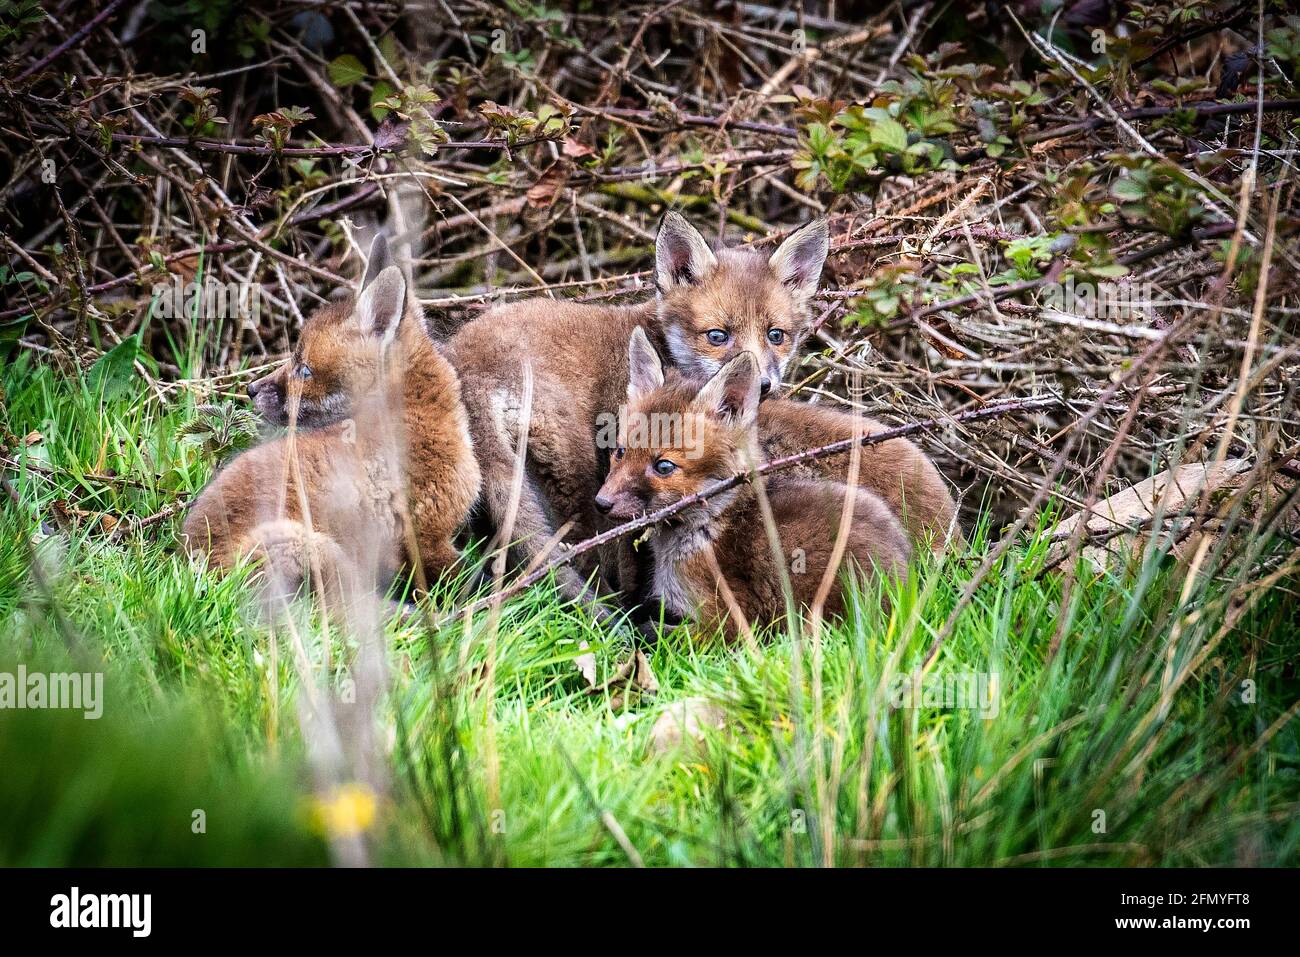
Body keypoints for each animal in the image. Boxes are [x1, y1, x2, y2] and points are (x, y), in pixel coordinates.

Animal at [181, 235, 480, 612]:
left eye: (304, 370)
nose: (250, 389)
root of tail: (190, 563)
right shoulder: (427, 537)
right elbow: (463, 579)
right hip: (315, 549)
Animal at [594, 329, 912, 639]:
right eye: (620, 452)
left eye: (663, 467)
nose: (601, 503)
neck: (712, 524)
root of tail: (907, 577)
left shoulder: (729, 622)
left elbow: (654, 632)